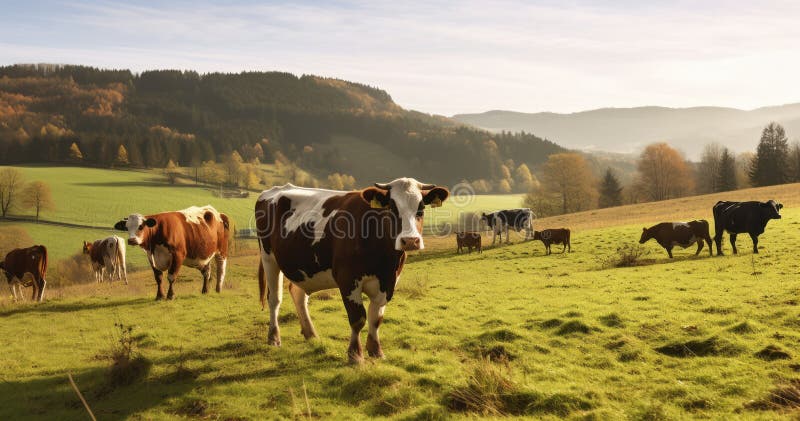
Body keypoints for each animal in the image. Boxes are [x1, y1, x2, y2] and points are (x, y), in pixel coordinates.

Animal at [255, 178, 449, 363]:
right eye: (392, 209)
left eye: (421, 209)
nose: (409, 241)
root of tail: (273, 190)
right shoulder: (348, 279)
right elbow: (358, 318)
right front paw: (355, 355)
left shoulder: (388, 281)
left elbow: (376, 318)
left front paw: (376, 351)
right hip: (268, 257)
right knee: (274, 299)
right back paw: (274, 337)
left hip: (303, 268)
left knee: (298, 294)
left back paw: (311, 334)